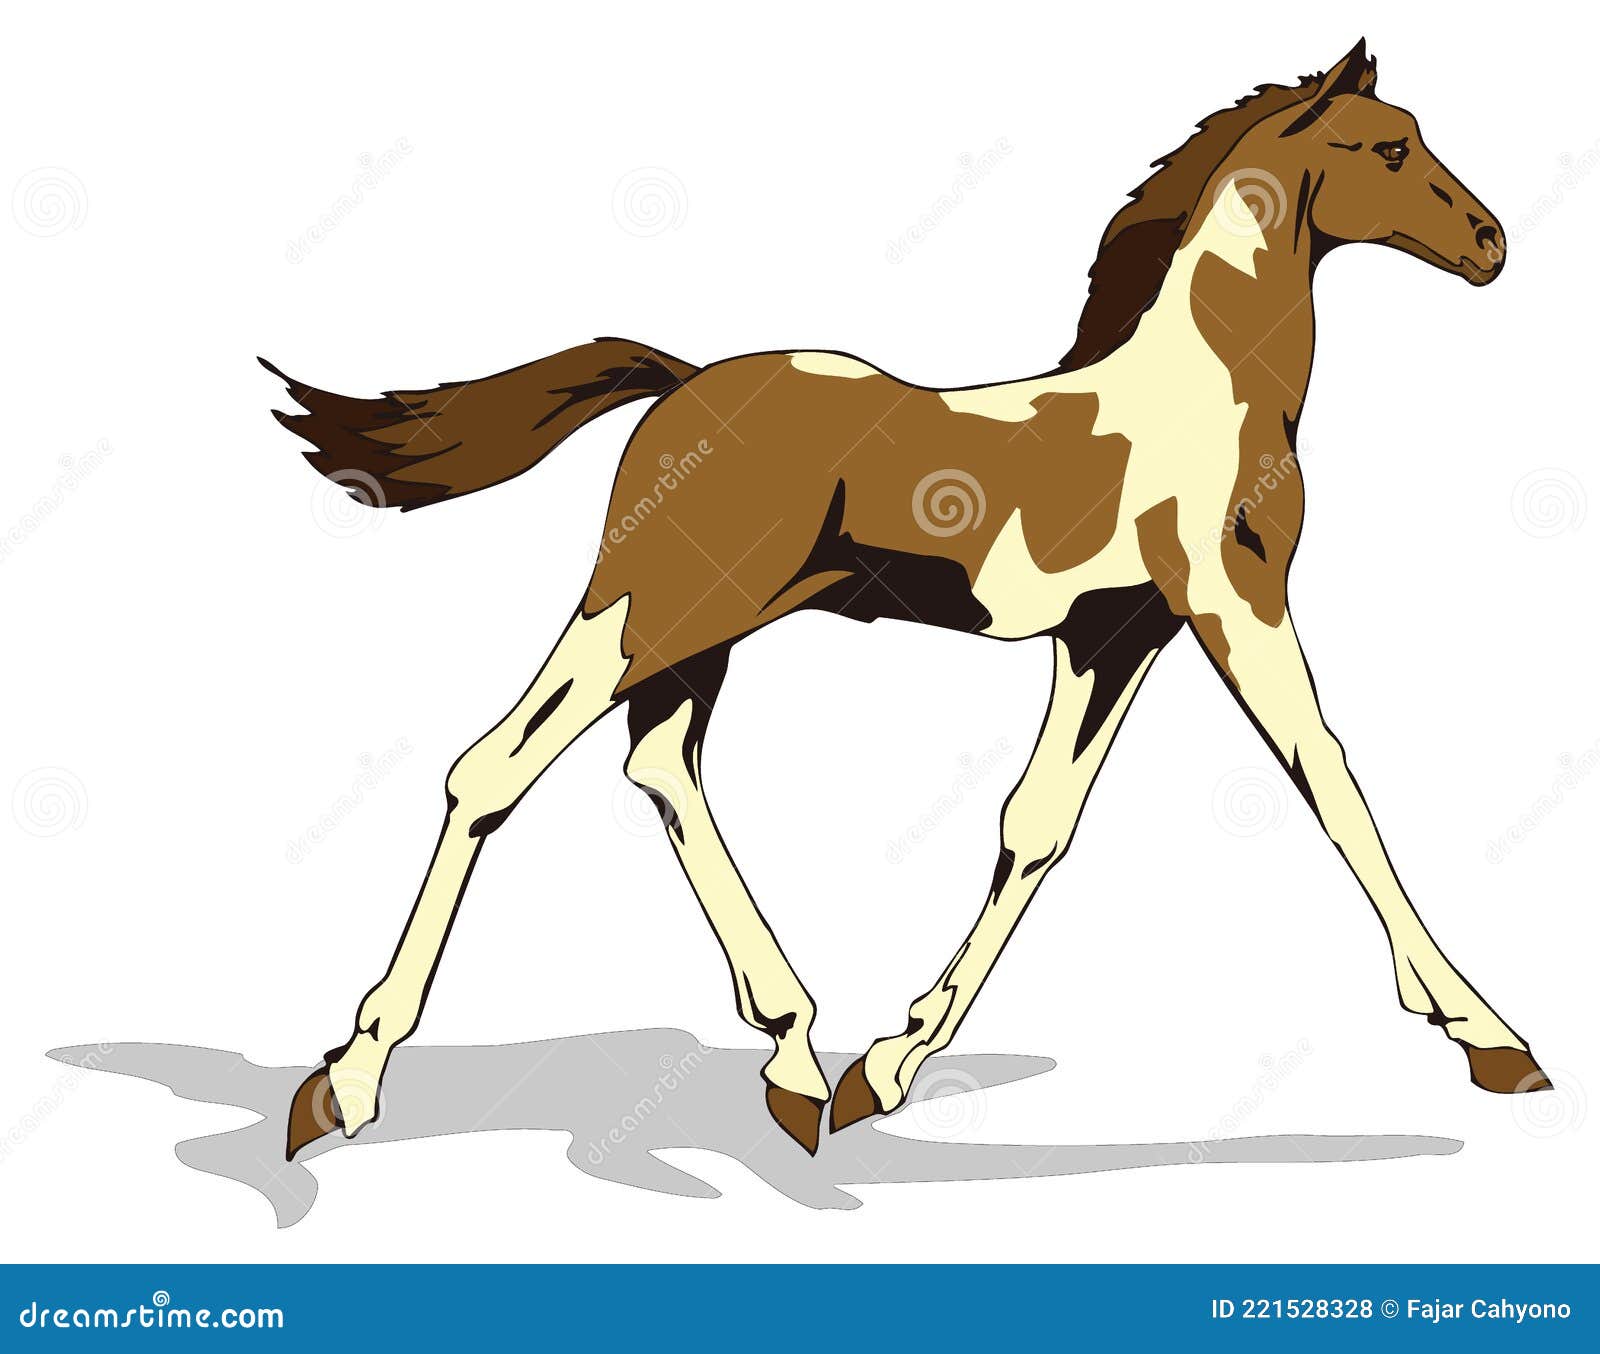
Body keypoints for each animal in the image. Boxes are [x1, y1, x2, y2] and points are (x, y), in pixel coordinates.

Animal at [268, 39, 1551, 1162]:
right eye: (1388, 148)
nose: (1492, 243)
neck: (1201, 393)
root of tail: (680, 385)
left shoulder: (1114, 634)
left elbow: (1038, 825)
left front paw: (885, 1066)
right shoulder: (1233, 602)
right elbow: (1330, 777)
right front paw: (1488, 1034)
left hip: (699, 628)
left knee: (658, 762)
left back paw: (793, 1057)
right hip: (646, 608)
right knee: (495, 767)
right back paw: (347, 1081)